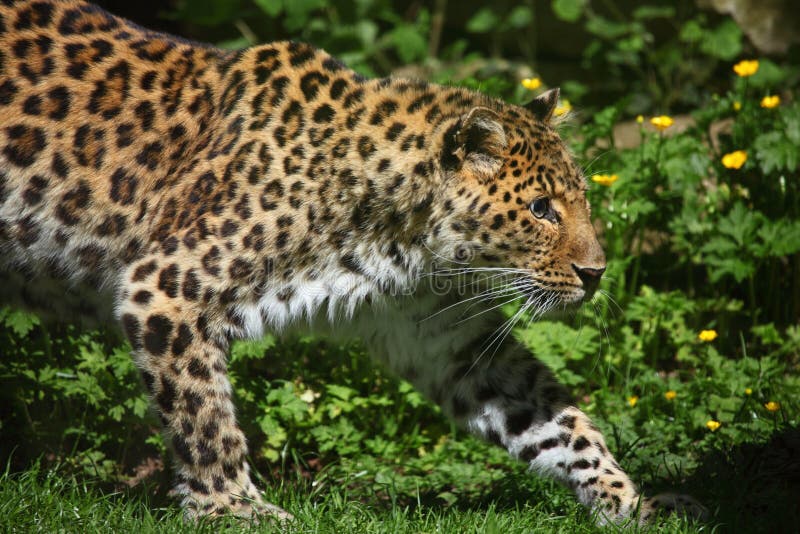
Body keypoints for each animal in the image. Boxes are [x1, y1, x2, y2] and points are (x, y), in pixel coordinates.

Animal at [0, 0, 706, 525]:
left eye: (579, 201)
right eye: (540, 209)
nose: (596, 274)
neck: (407, 245)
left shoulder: (444, 339)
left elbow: (555, 418)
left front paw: (630, 500)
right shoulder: (165, 289)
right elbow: (205, 417)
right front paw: (234, 509)